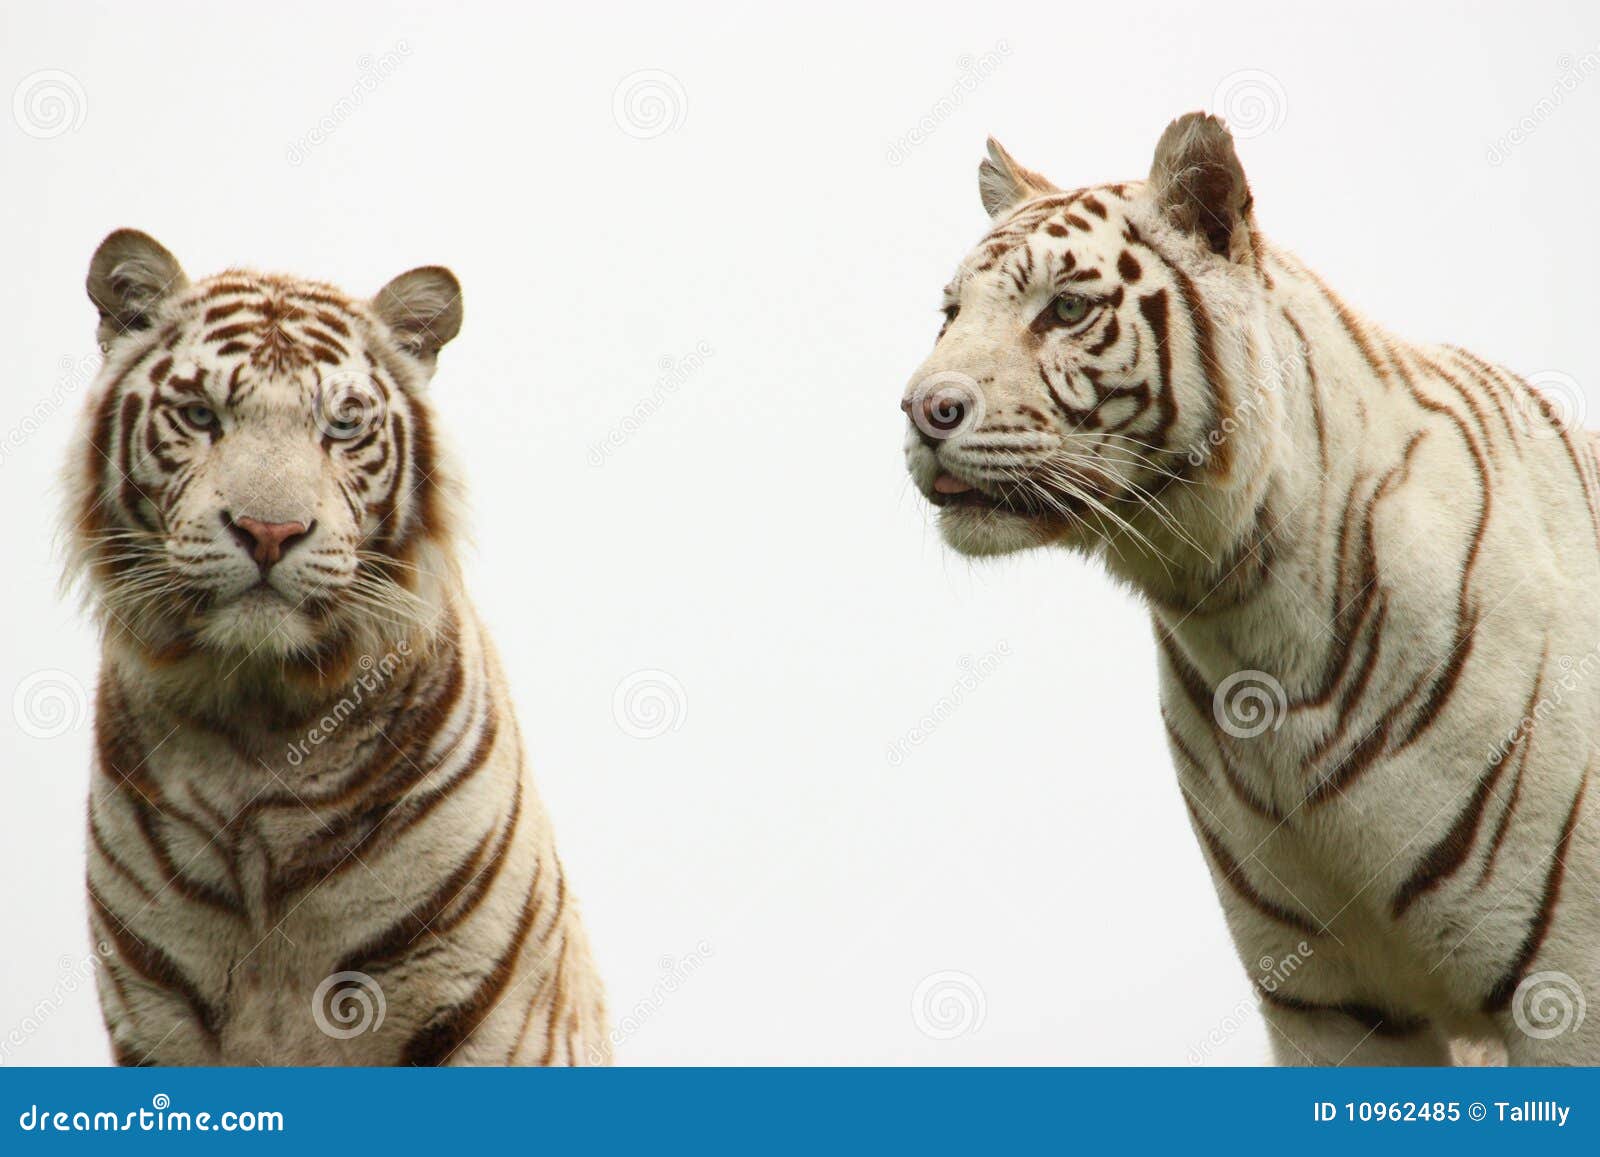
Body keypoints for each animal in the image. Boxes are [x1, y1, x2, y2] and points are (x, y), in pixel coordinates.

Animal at [900, 113, 1600, 1065]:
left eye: (1067, 309)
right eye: (950, 315)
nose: (920, 411)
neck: (1244, 614)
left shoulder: (1566, 985)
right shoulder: (1323, 999)